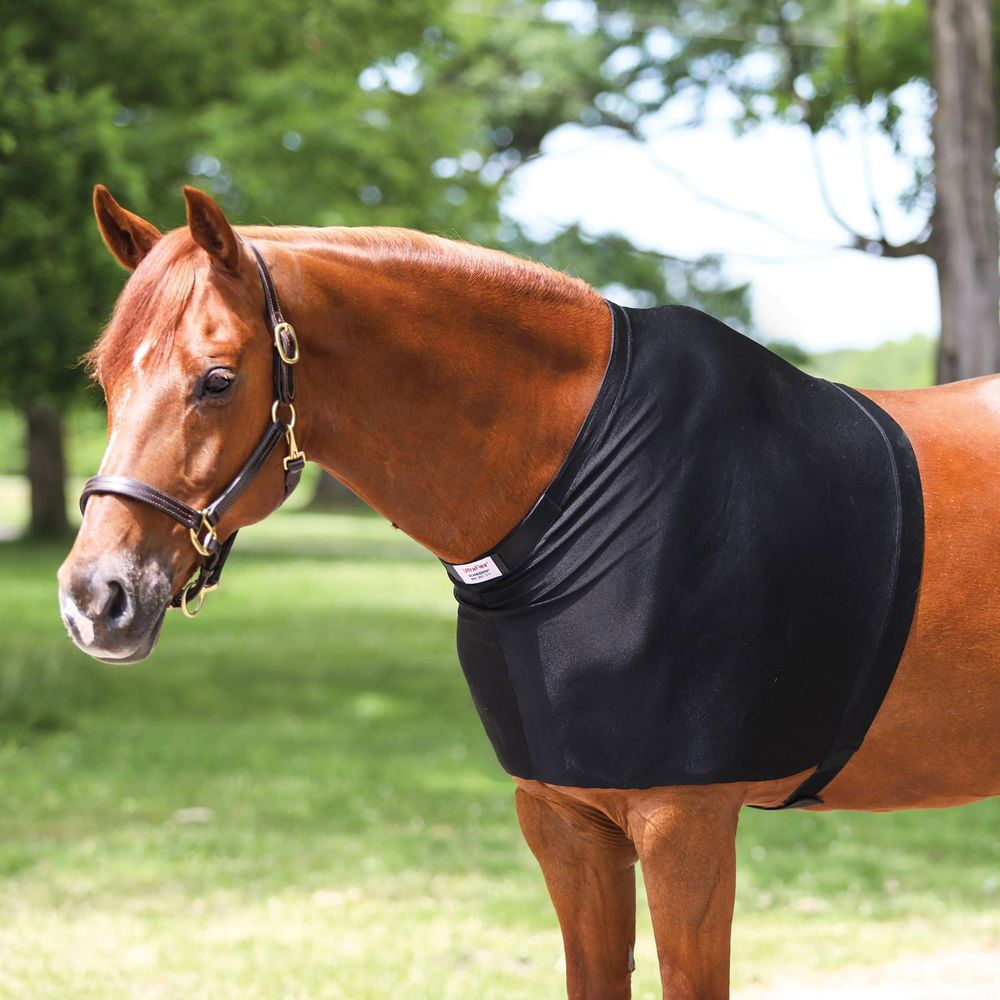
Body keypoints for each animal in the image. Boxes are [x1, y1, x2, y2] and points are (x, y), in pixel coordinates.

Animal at [59, 185, 1000, 1000]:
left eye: (218, 378)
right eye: (103, 378)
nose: (94, 598)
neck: (578, 485)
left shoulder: (686, 823)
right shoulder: (564, 819)